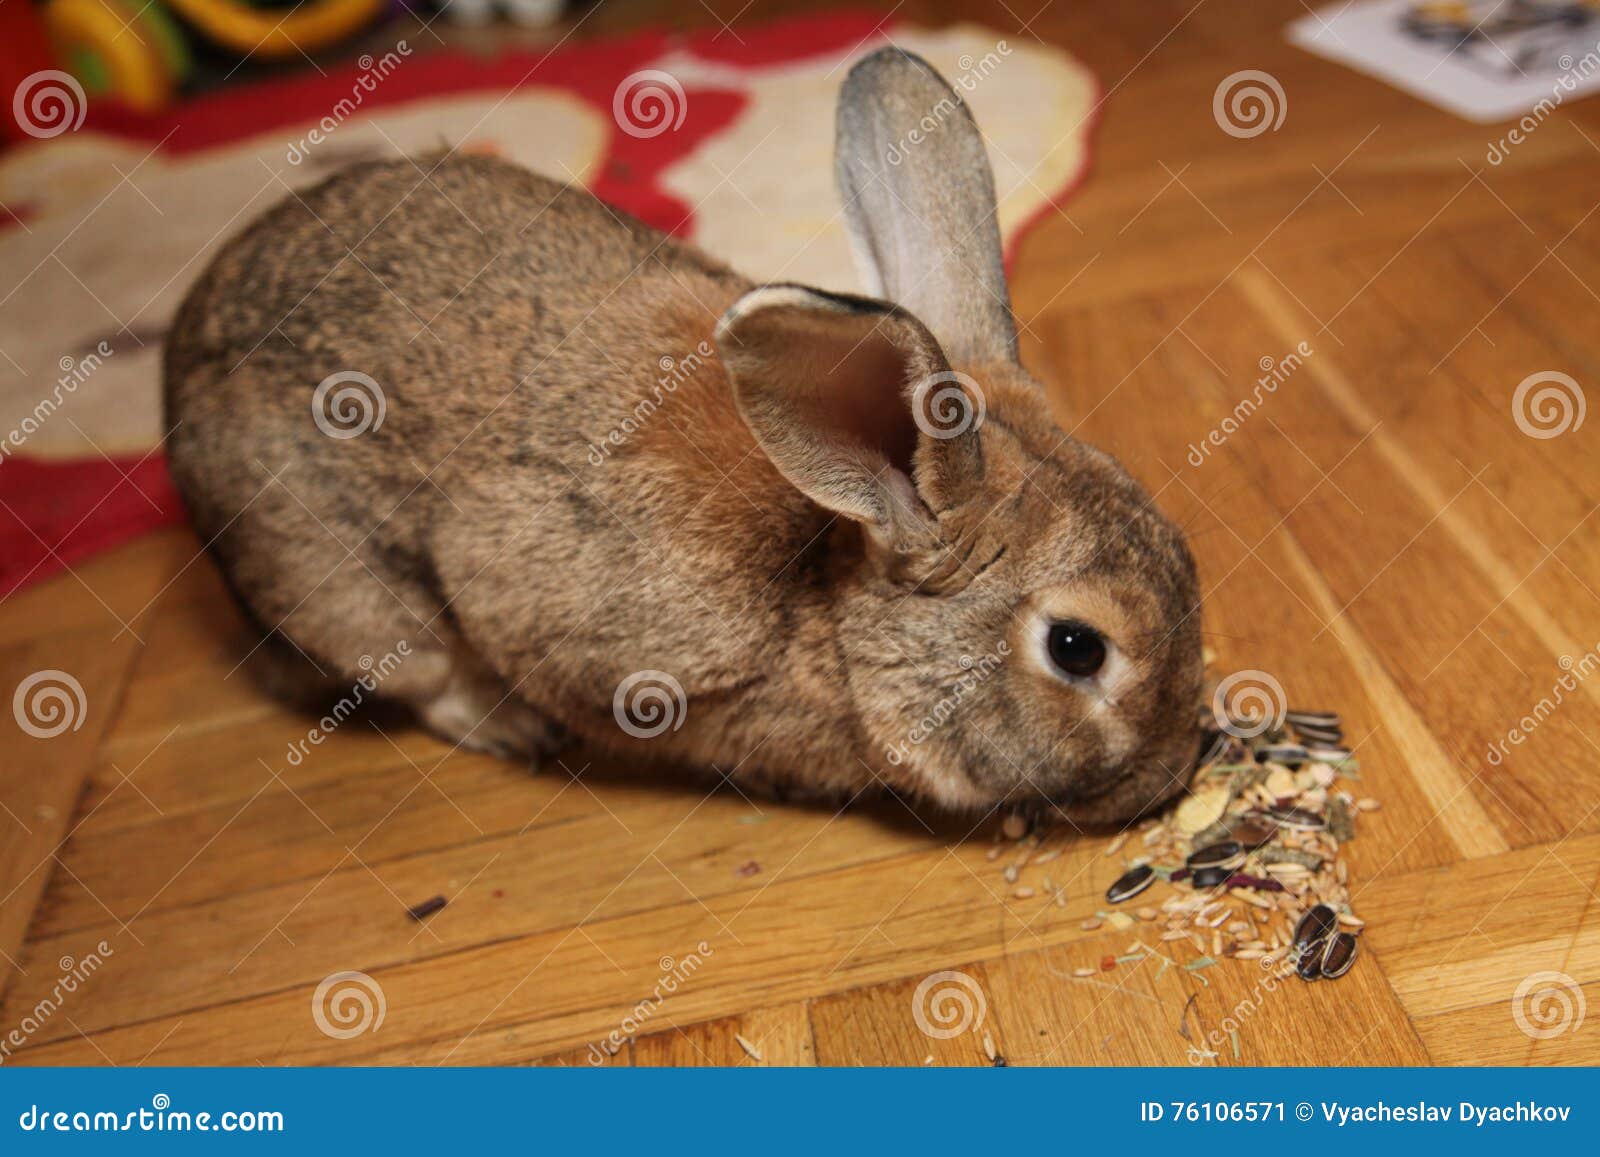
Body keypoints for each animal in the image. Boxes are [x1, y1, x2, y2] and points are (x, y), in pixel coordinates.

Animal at [163, 46, 1204, 826]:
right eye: (1076, 648)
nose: (1171, 778)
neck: (823, 592)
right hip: (336, 577)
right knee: (412, 664)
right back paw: (510, 727)